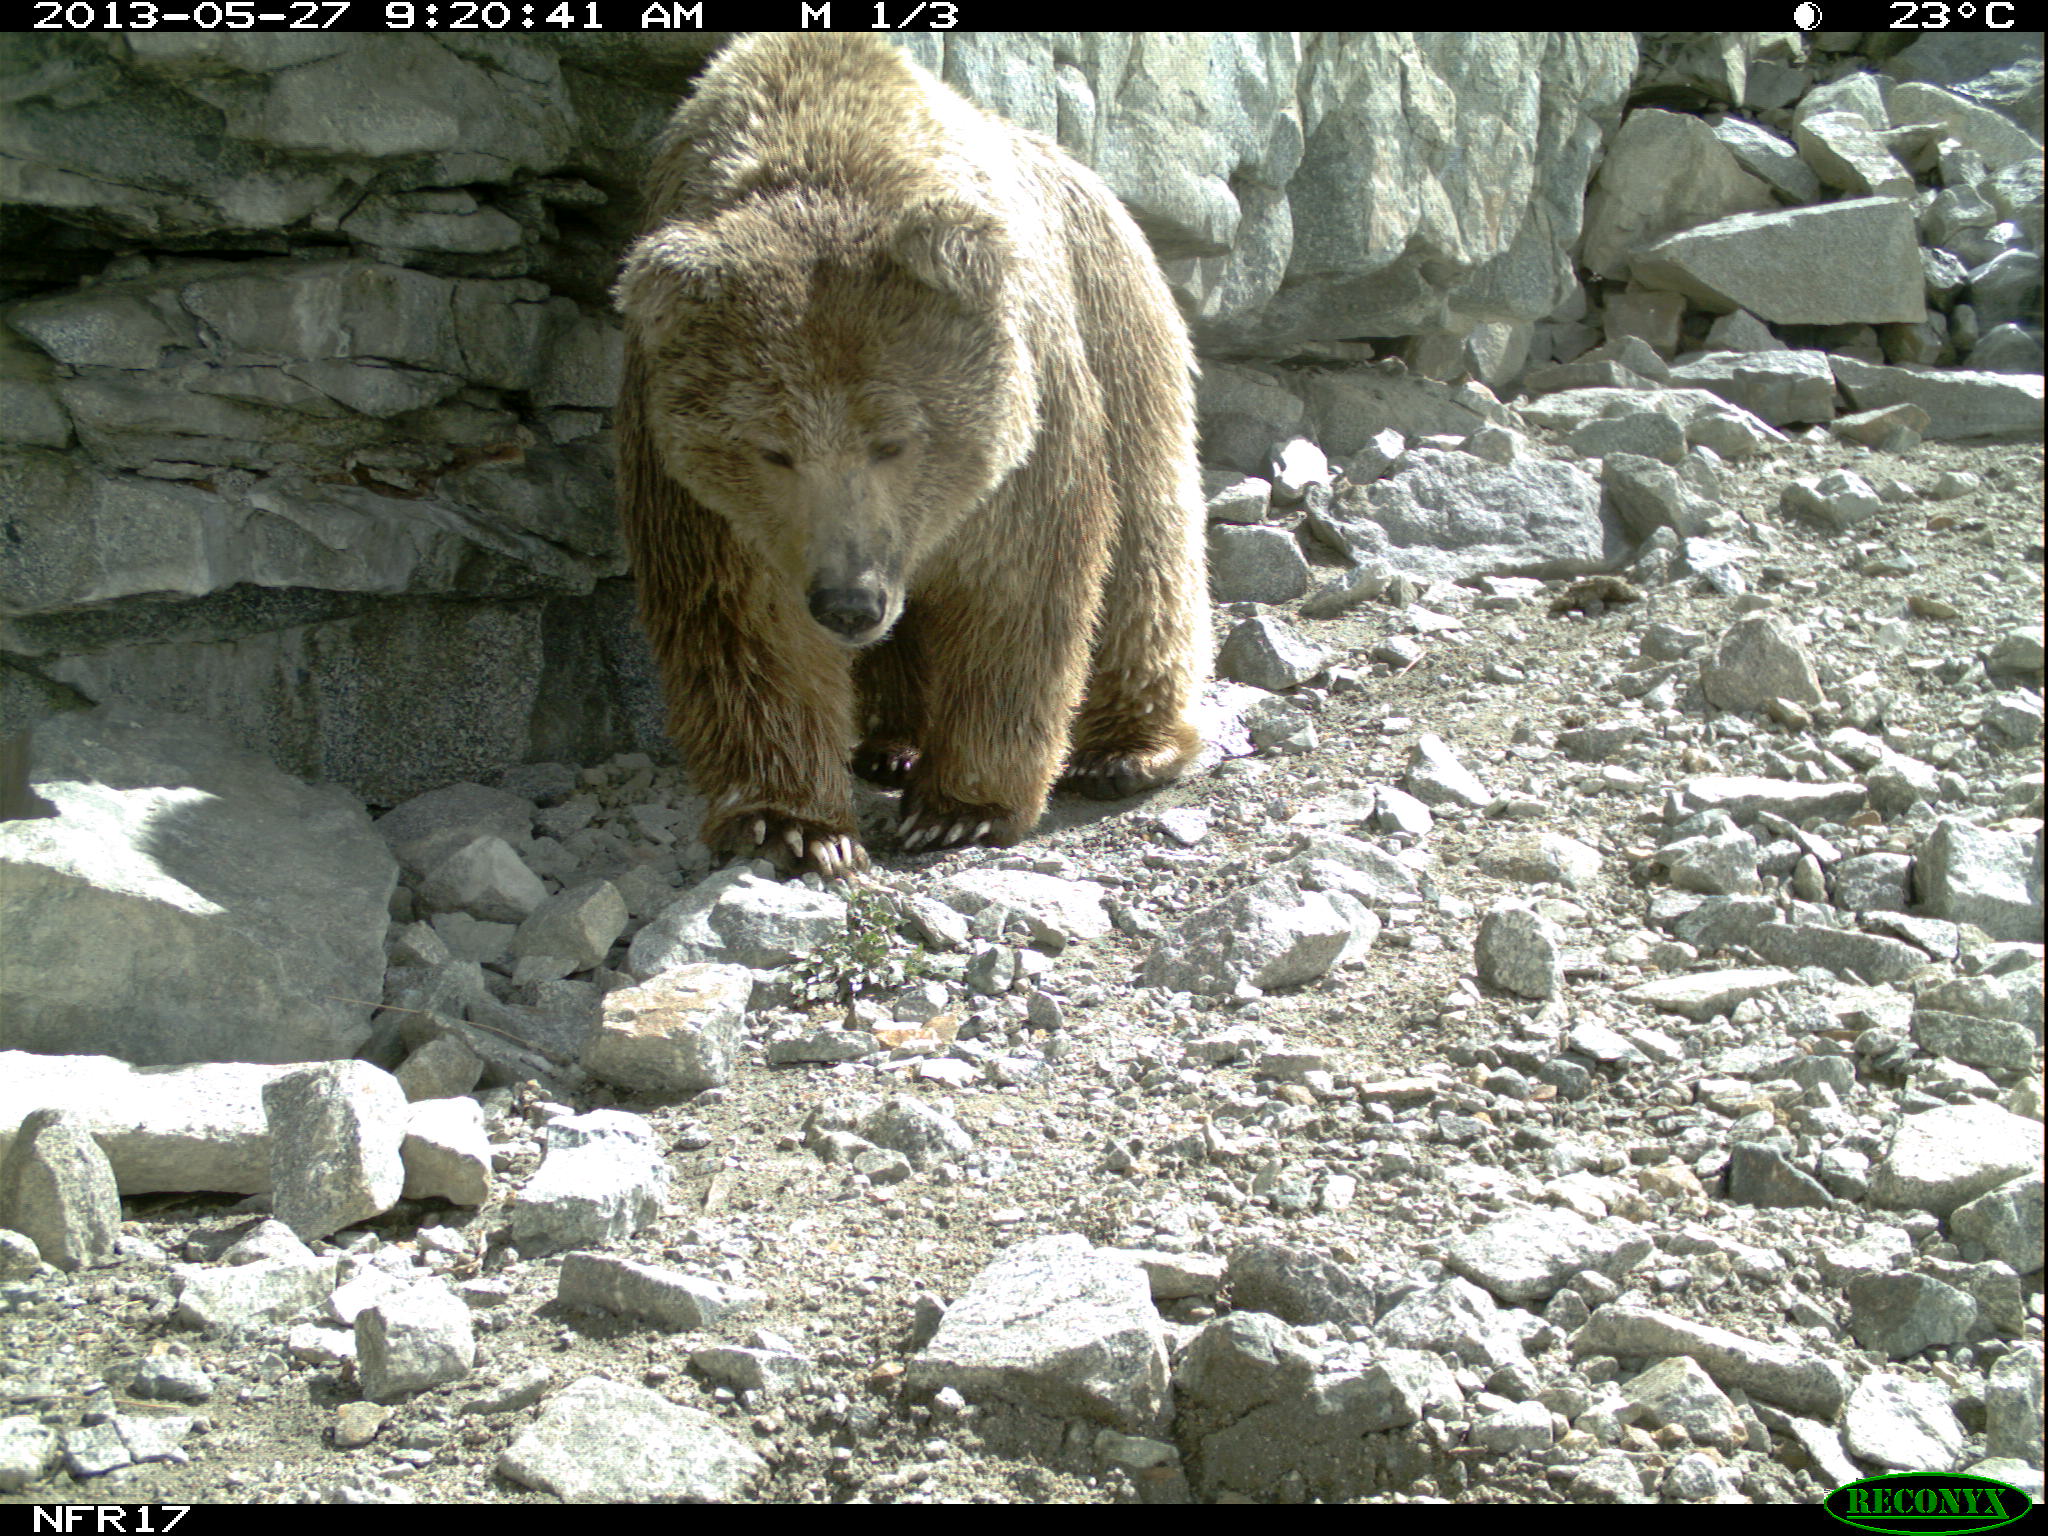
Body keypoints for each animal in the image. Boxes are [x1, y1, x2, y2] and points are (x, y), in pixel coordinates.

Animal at [613, 33, 1208, 878]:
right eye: (773, 449)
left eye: (893, 439)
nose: (849, 600)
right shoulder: (705, 490)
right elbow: (746, 622)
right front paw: (792, 824)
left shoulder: (1021, 435)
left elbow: (1018, 591)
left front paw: (957, 808)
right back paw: (890, 743)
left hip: (1119, 329)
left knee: (1148, 545)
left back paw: (1128, 750)